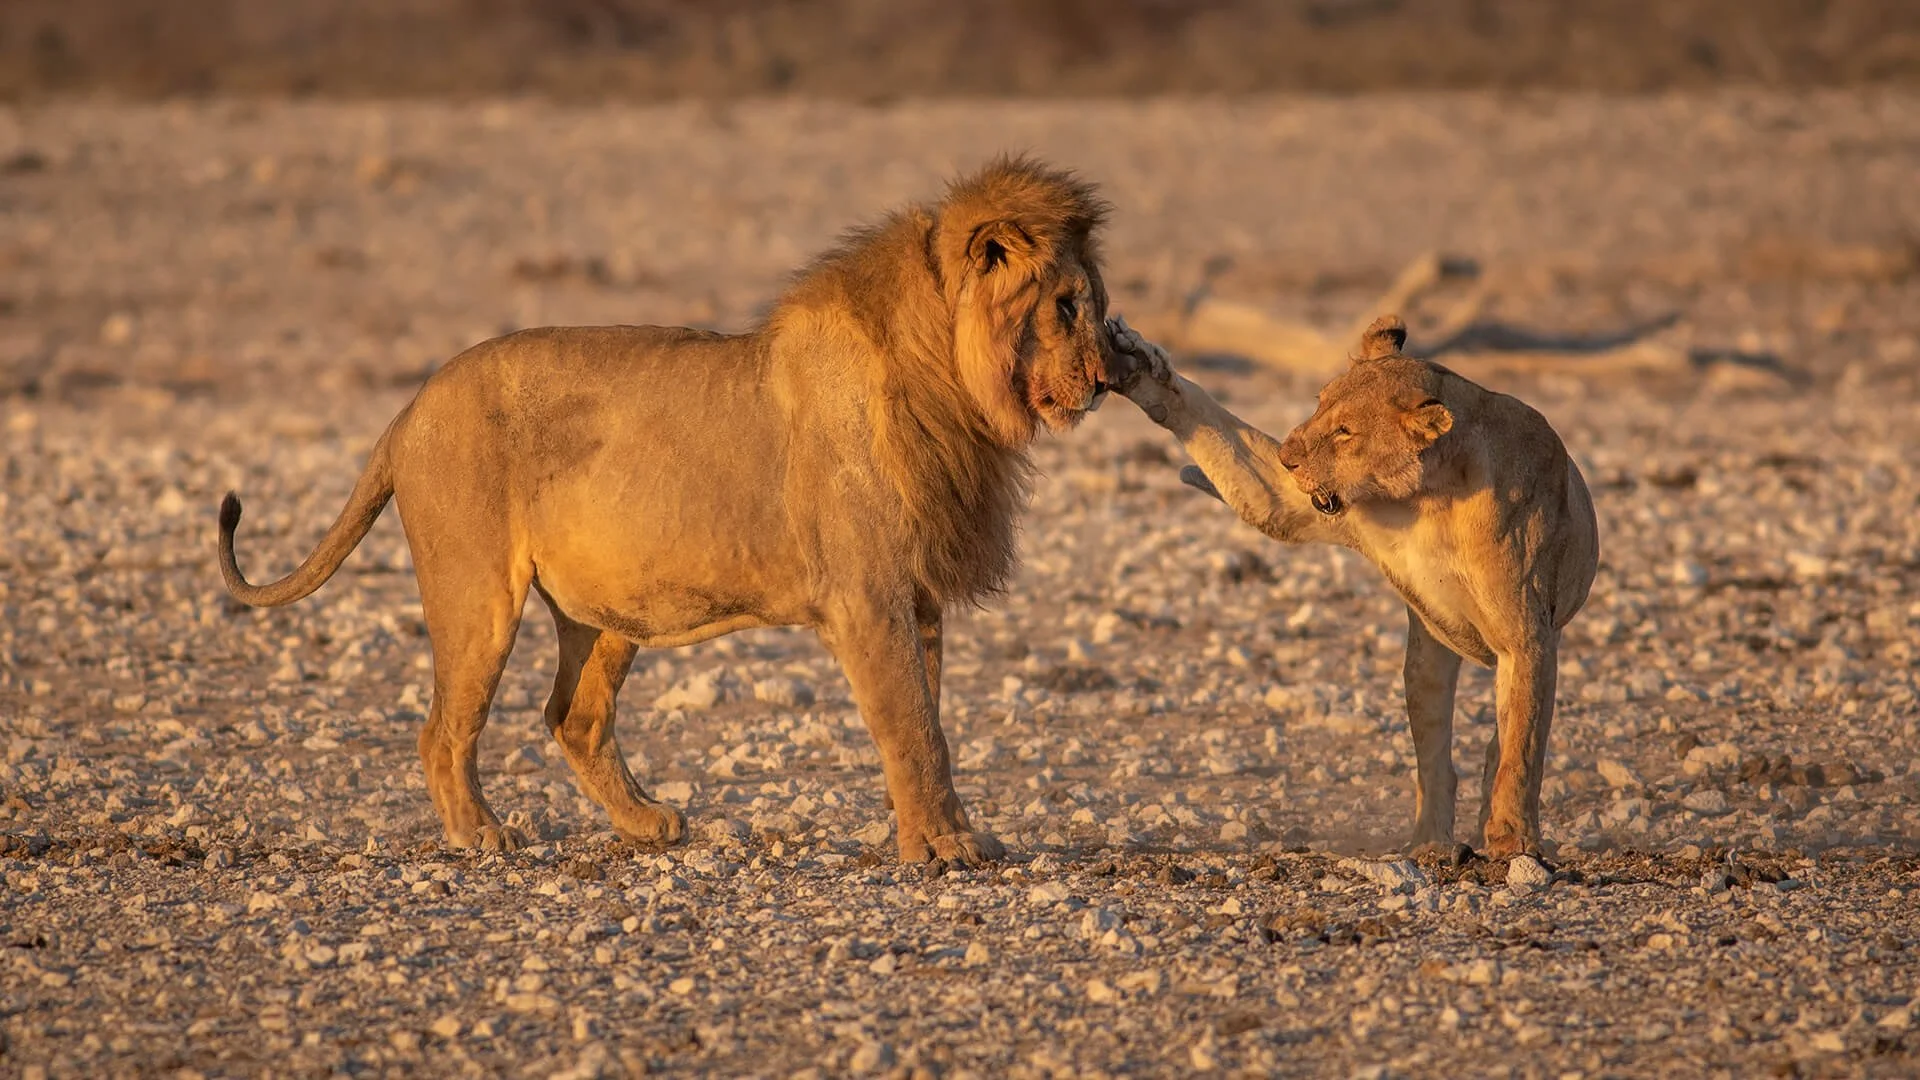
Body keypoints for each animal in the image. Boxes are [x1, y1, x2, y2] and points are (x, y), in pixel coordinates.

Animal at [218, 157, 1120, 864]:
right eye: (1068, 305)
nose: (1109, 380)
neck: (952, 384)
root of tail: (409, 410)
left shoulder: (918, 597)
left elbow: (927, 727)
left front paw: (940, 837)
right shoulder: (868, 598)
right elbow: (912, 728)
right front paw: (946, 848)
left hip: (605, 609)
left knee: (574, 718)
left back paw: (648, 824)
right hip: (476, 594)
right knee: (444, 729)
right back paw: (483, 834)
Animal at [1110, 314, 1598, 858]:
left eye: (1345, 432)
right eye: (1319, 401)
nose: (1287, 455)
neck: (1432, 494)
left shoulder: (1526, 636)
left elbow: (1522, 747)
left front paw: (1514, 839)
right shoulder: (1305, 503)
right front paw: (1140, 364)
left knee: (1499, 741)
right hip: (1426, 658)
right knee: (1435, 759)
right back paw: (1428, 844)